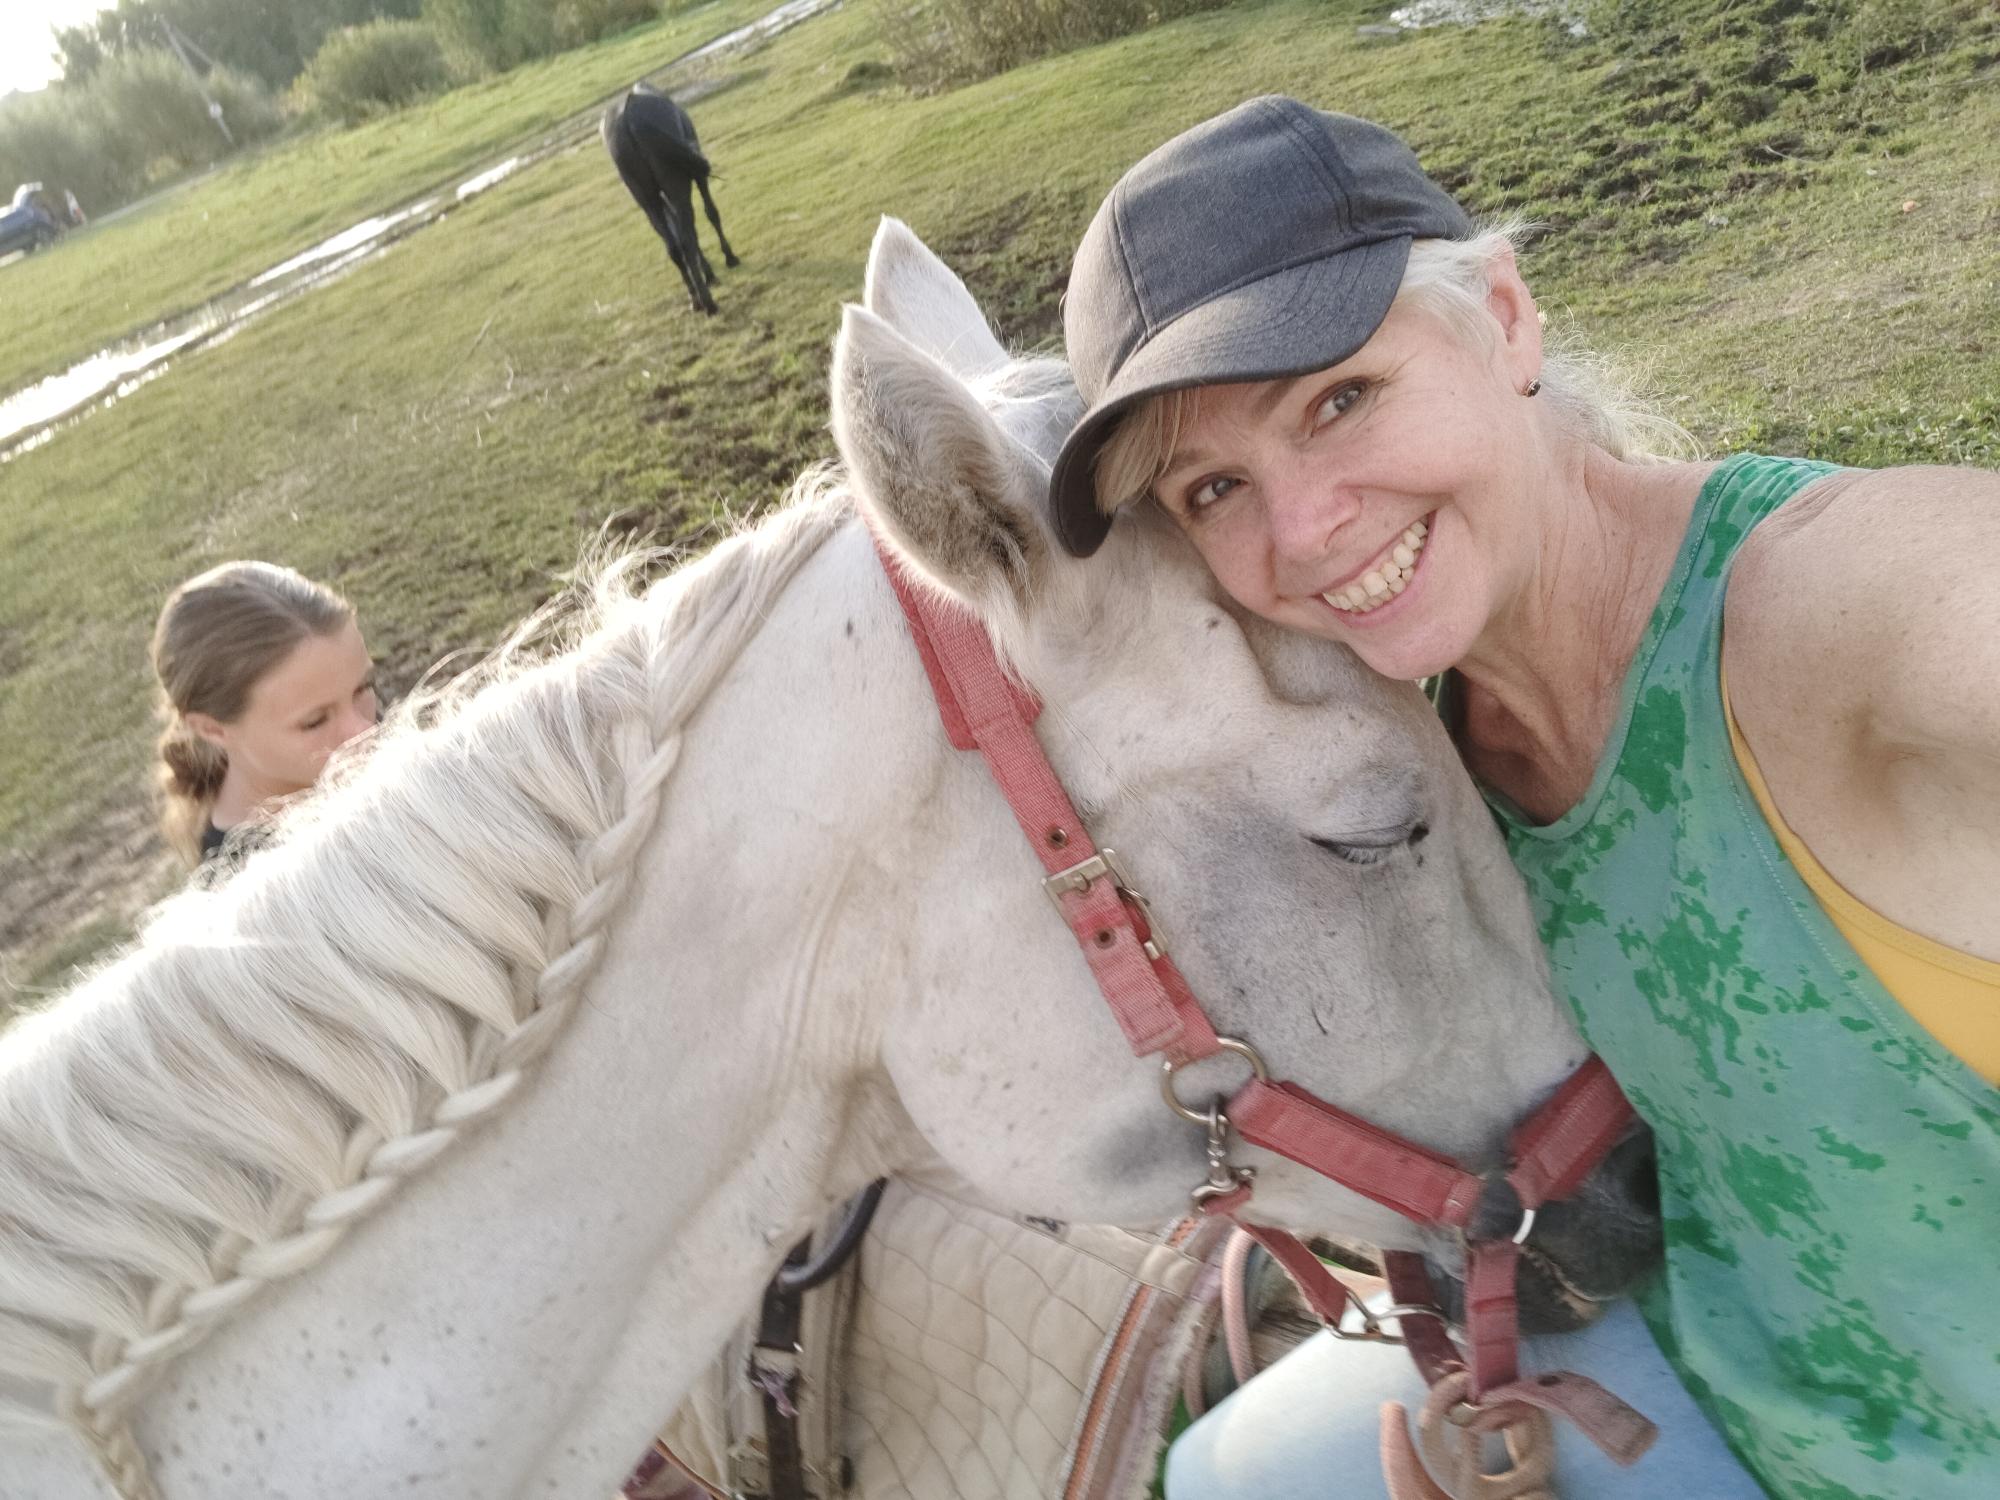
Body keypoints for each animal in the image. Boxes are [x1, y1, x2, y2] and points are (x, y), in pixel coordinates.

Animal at [601, 83, 741, 316]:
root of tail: (630, 117)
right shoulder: (697, 176)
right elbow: (711, 213)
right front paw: (729, 258)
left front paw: (708, 272)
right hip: (677, 184)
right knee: (685, 238)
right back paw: (709, 303)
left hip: (646, 198)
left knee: (674, 245)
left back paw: (695, 300)